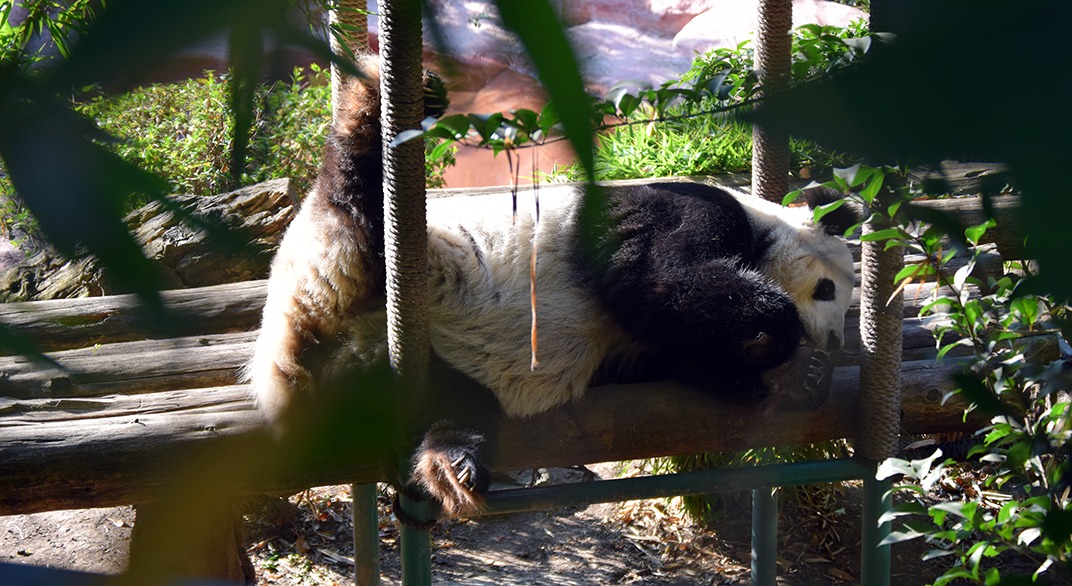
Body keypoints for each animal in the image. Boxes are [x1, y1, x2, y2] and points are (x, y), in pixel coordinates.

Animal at [247, 55, 861, 518]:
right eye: (827, 291)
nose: (833, 342)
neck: (762, 225)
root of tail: (294, 356)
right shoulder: (677, 210)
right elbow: (657, 281)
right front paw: (780, 331)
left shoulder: (638, 351)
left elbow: (677, 356)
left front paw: (795, 375)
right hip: (344, 257)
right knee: (354, 191)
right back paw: (383, 97)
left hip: (399, 373)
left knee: (449, 406)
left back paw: (452, 464)